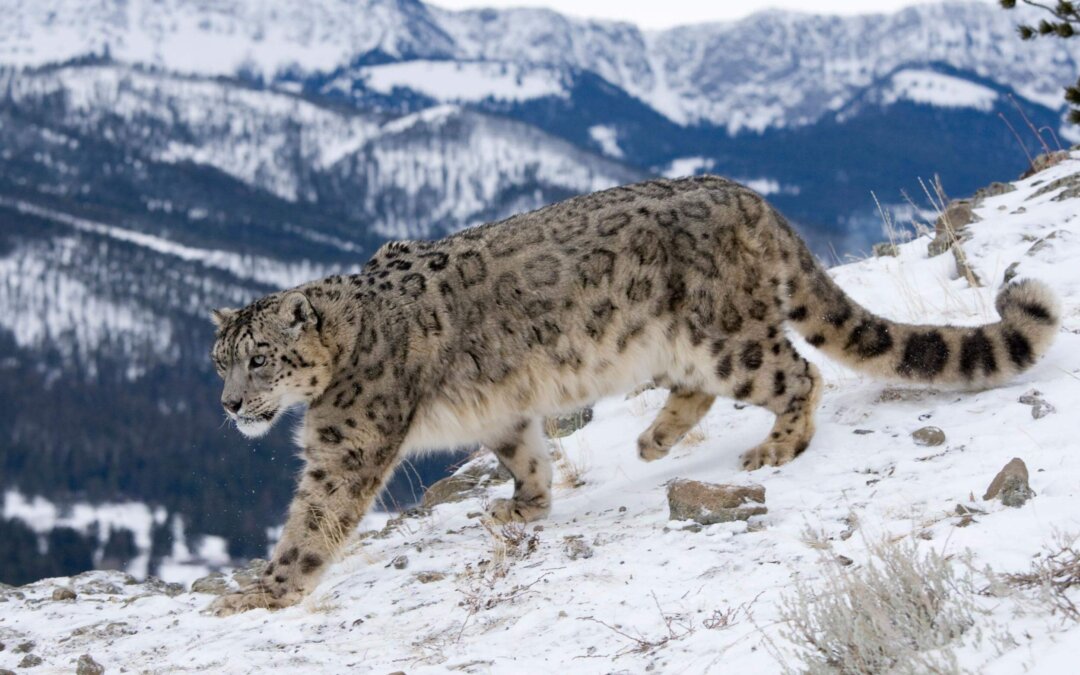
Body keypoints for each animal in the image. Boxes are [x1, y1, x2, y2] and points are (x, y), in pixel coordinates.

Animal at [208, 175, 1060, 615]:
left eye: (260, 359)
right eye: (218, 362)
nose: (228, 405)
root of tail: (744, 193)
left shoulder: (347, 440)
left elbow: (314, 515)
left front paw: (262, 591)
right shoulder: (504, 410)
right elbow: (524, 449)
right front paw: (522, 506)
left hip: (725, 334)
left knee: (797, 372)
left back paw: (775, 444)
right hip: (685, 342)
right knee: (707, 386)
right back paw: (655, 438)